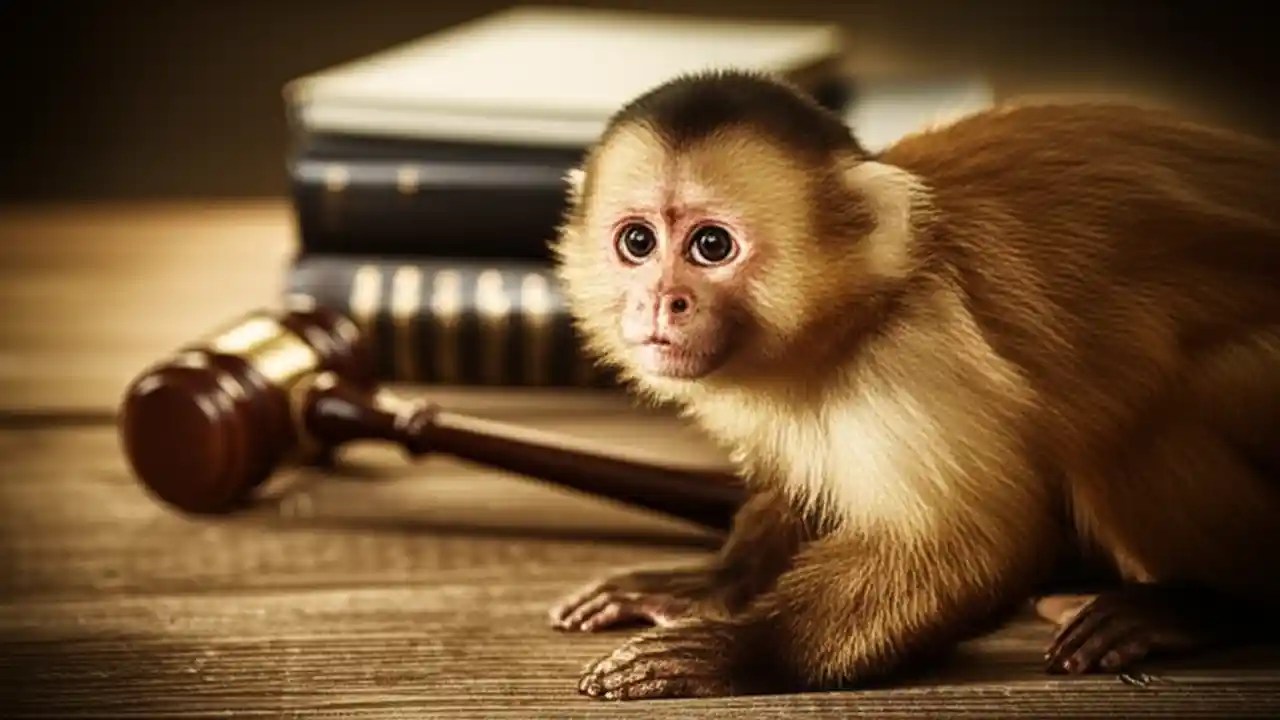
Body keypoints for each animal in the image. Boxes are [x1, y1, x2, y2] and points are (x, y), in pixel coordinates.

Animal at [545, 68, 1280, 701]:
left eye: (711, 246)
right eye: (638, 242)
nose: (662, 301)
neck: (860, 304)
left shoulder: (916, 345)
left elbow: (974, 539)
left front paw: (737, 653)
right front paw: (709, 583)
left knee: (1137, 417)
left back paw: (1203, 605)